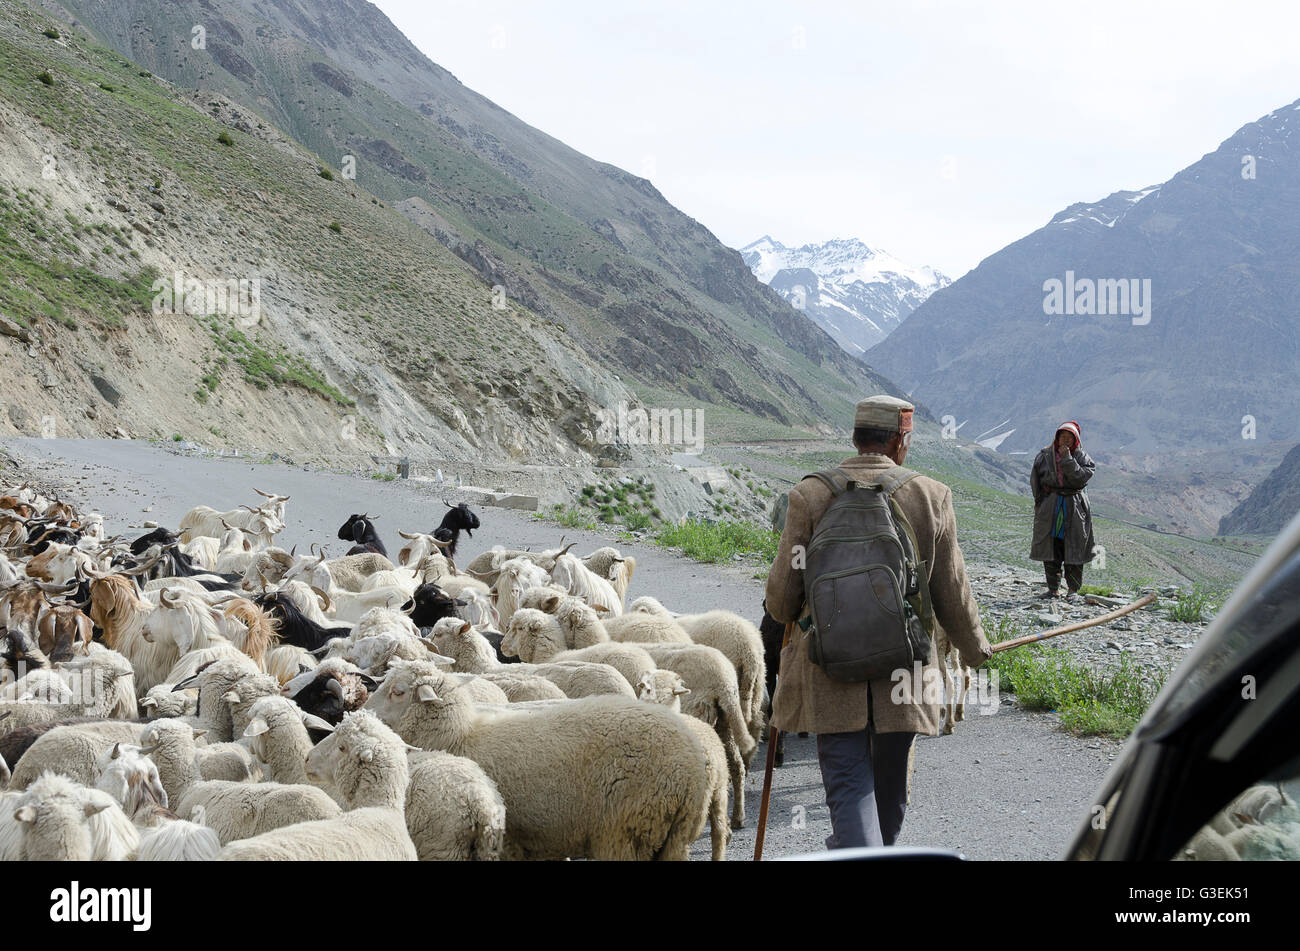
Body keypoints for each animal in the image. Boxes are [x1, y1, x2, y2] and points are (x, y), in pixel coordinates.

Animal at [366, 660, 709, 860]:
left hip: (626, 829)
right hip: (676, 837)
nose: (365, 711)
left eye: (398, 691)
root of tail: (691, 767)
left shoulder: (509, 839)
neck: (461, 734)